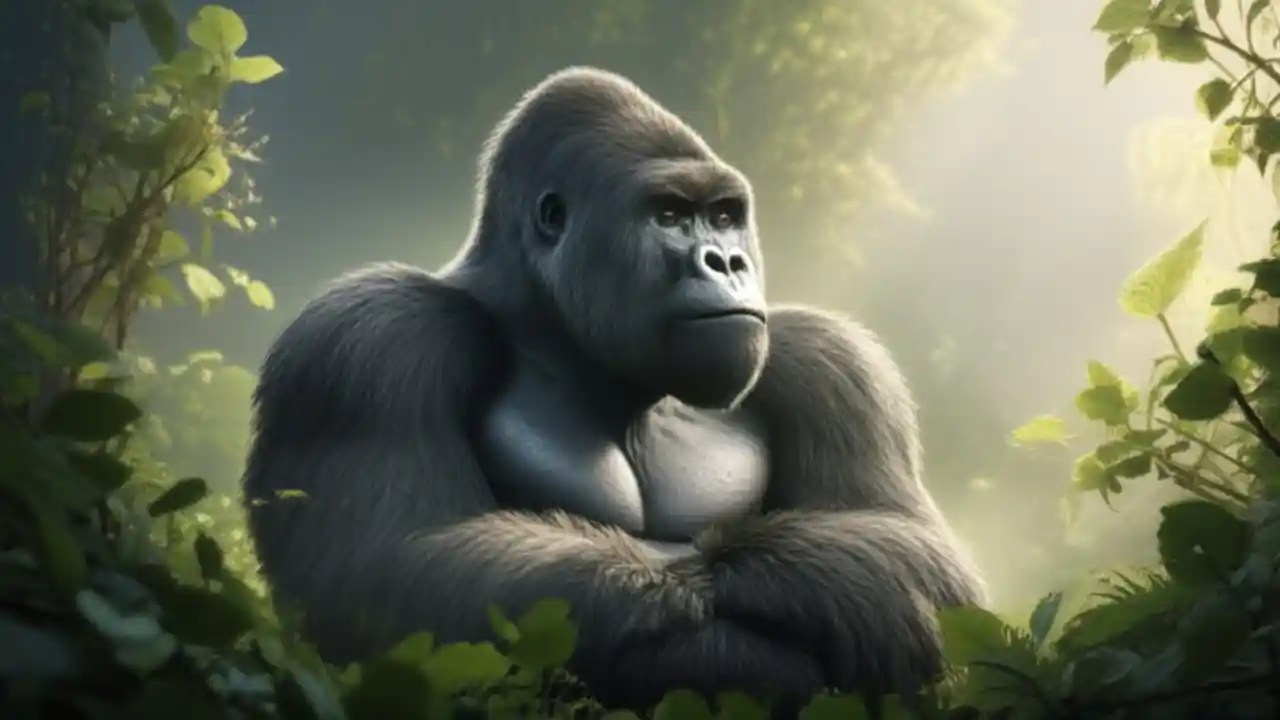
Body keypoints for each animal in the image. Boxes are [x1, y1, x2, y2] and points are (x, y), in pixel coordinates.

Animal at [243, 66, 984, 712]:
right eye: (668, 214)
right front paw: (688, 576)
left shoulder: (827, 360)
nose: (727, 261)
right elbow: (383, 571)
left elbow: (911, 549)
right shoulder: (368, 339)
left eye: (724, 216)